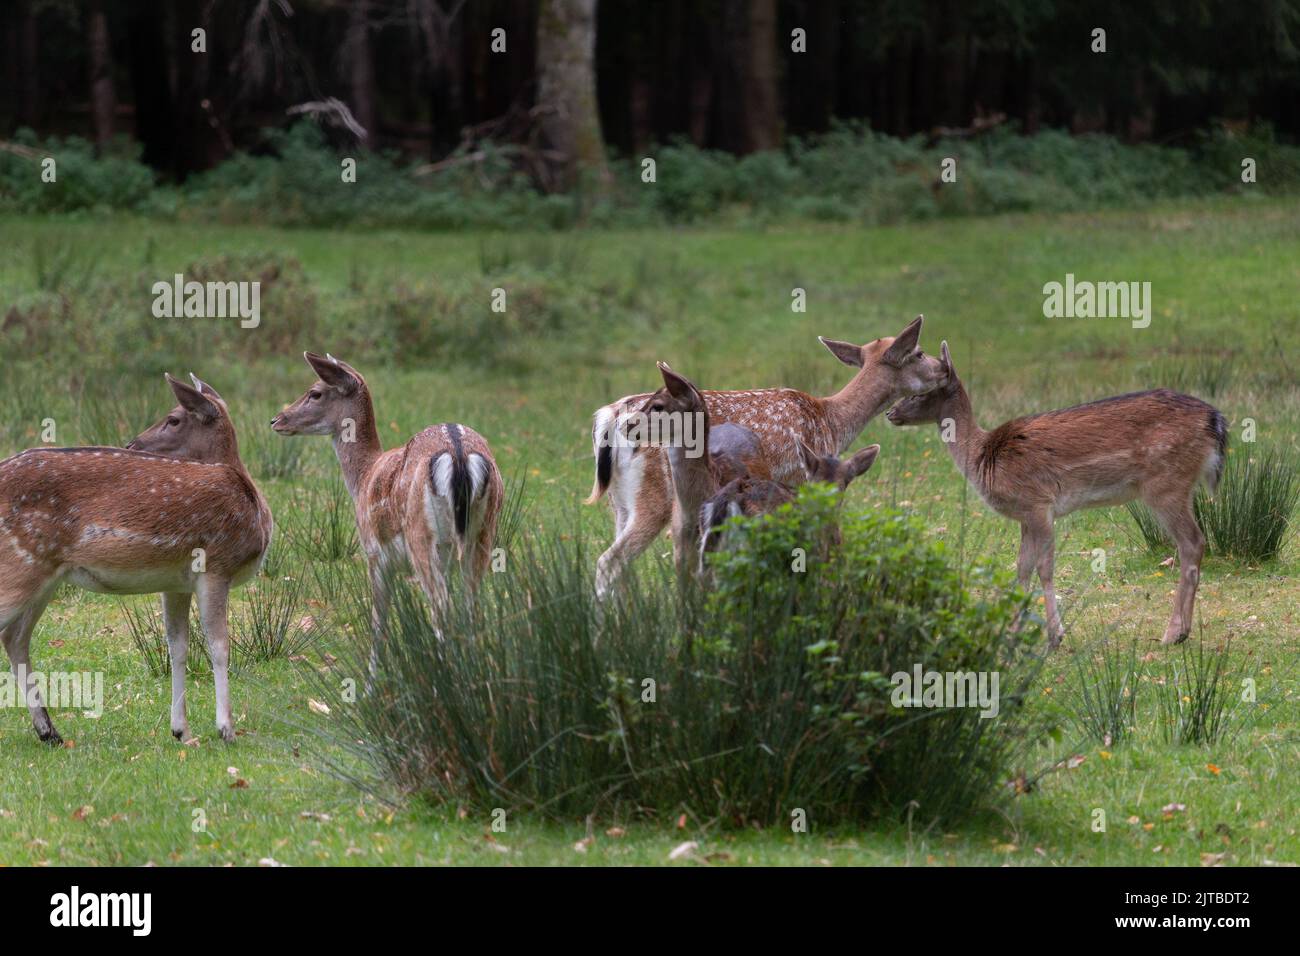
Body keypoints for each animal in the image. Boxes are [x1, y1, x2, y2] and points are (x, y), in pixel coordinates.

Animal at [0, 373, 272, 744]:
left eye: (173, 419)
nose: (131, 444)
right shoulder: (216, 563)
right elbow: (219, 646)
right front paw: (226, 729)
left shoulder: (176, 582)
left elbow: (178, 646)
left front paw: (181, 731)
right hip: (20, 564)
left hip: (44, 575)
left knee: (15, 638)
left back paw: (50, 732)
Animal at [271, 353, 502, 677]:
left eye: (315, 392)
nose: (276, 420)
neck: (364, 478)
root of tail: (458, 454)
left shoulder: (373, 551)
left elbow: (378, 623)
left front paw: (371, 680)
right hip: (482, 534)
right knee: (472, 607)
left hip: (421, 536)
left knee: (441, 609)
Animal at [886, 342, 1228, 648]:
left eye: (919, 390)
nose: (890, 412)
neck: (982, 456)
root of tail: (1216, 422)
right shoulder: (1023, 515)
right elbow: (1021, 567)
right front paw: (1012, 632)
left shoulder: (1038, 503)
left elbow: (1044, 568)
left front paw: (1055, 636)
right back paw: (1180, 631)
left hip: (1166, 485)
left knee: (1192, 542)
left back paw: (1173, 633)